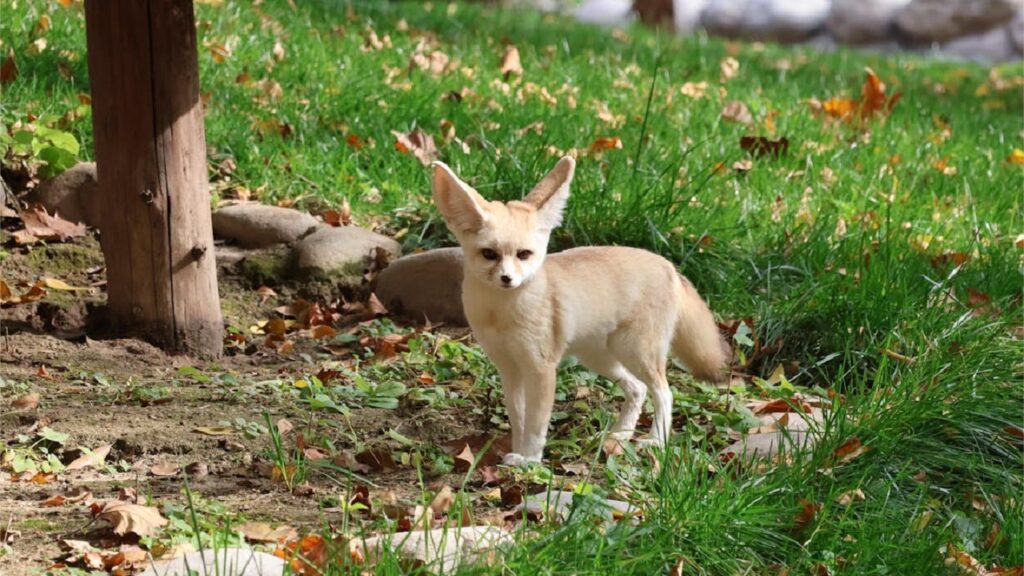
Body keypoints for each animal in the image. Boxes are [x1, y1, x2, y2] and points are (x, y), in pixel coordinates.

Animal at [431, 156, 731, 466]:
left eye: (524, 254)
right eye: (489, 254)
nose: (507, 279)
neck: (500, 315)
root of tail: (669, 265)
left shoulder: (541, 368)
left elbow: (536, 425)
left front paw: (530, 461)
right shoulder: (509, 368)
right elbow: (519, 419)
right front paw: (516, 451)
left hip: (637, 353)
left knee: (664, 392)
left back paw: (656, 441)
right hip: (601, 358)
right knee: (638, 388)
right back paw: (619, 437)